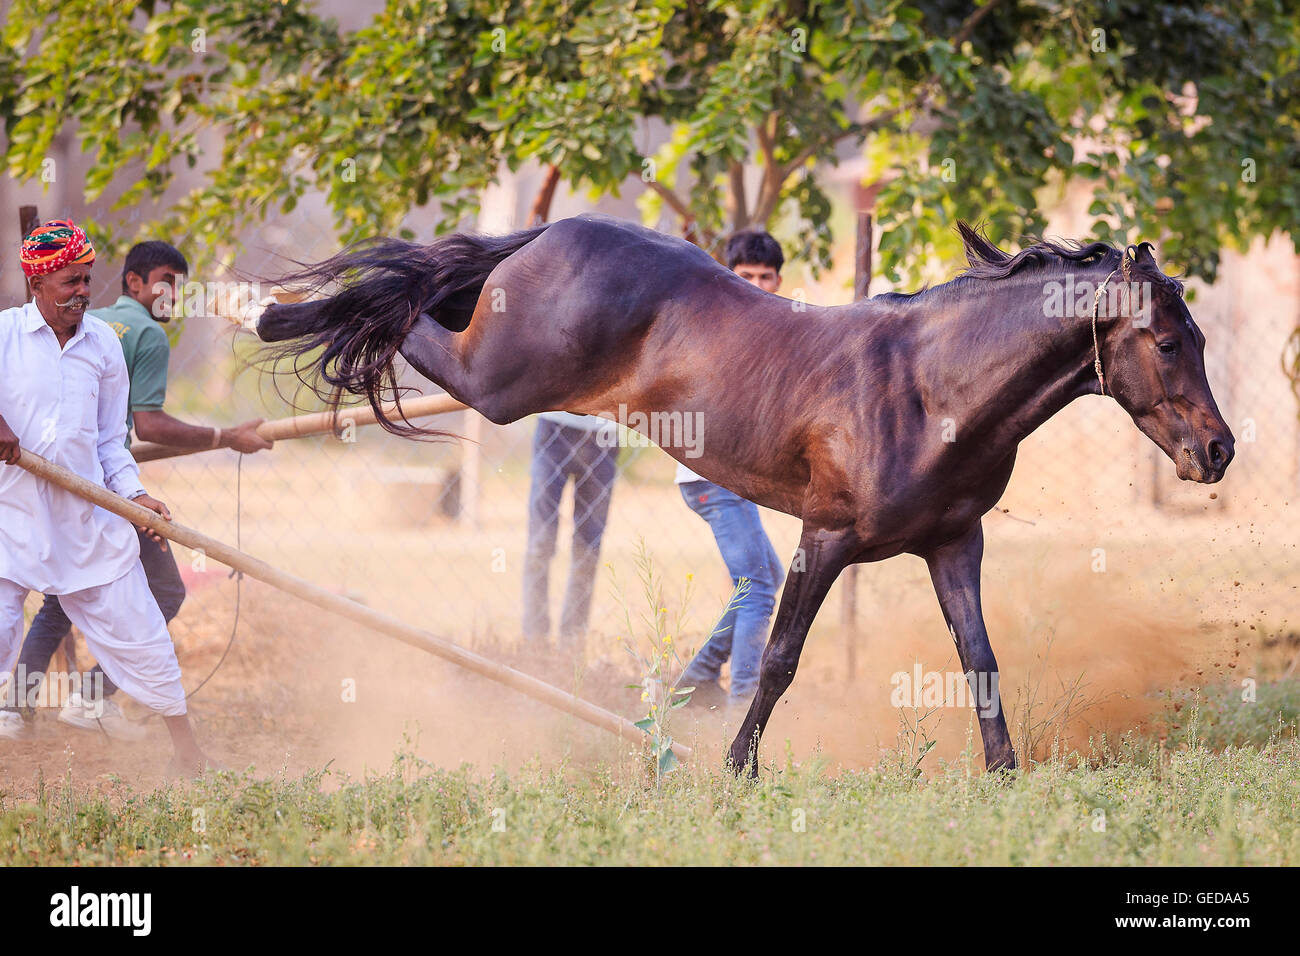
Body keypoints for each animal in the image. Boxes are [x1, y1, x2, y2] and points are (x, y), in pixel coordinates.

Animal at [252, 213, 1234, 774]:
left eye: (1196, 336)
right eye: (1168, 341)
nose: (1219, 452)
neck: (932, 389)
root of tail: (552, 230)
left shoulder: (954, 544)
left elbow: (980, 658)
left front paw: (1004, 775)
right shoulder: (825, 538)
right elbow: (780, 659)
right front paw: (736, 769)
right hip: (497, 385)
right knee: (399, 311)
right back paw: (265, 312)